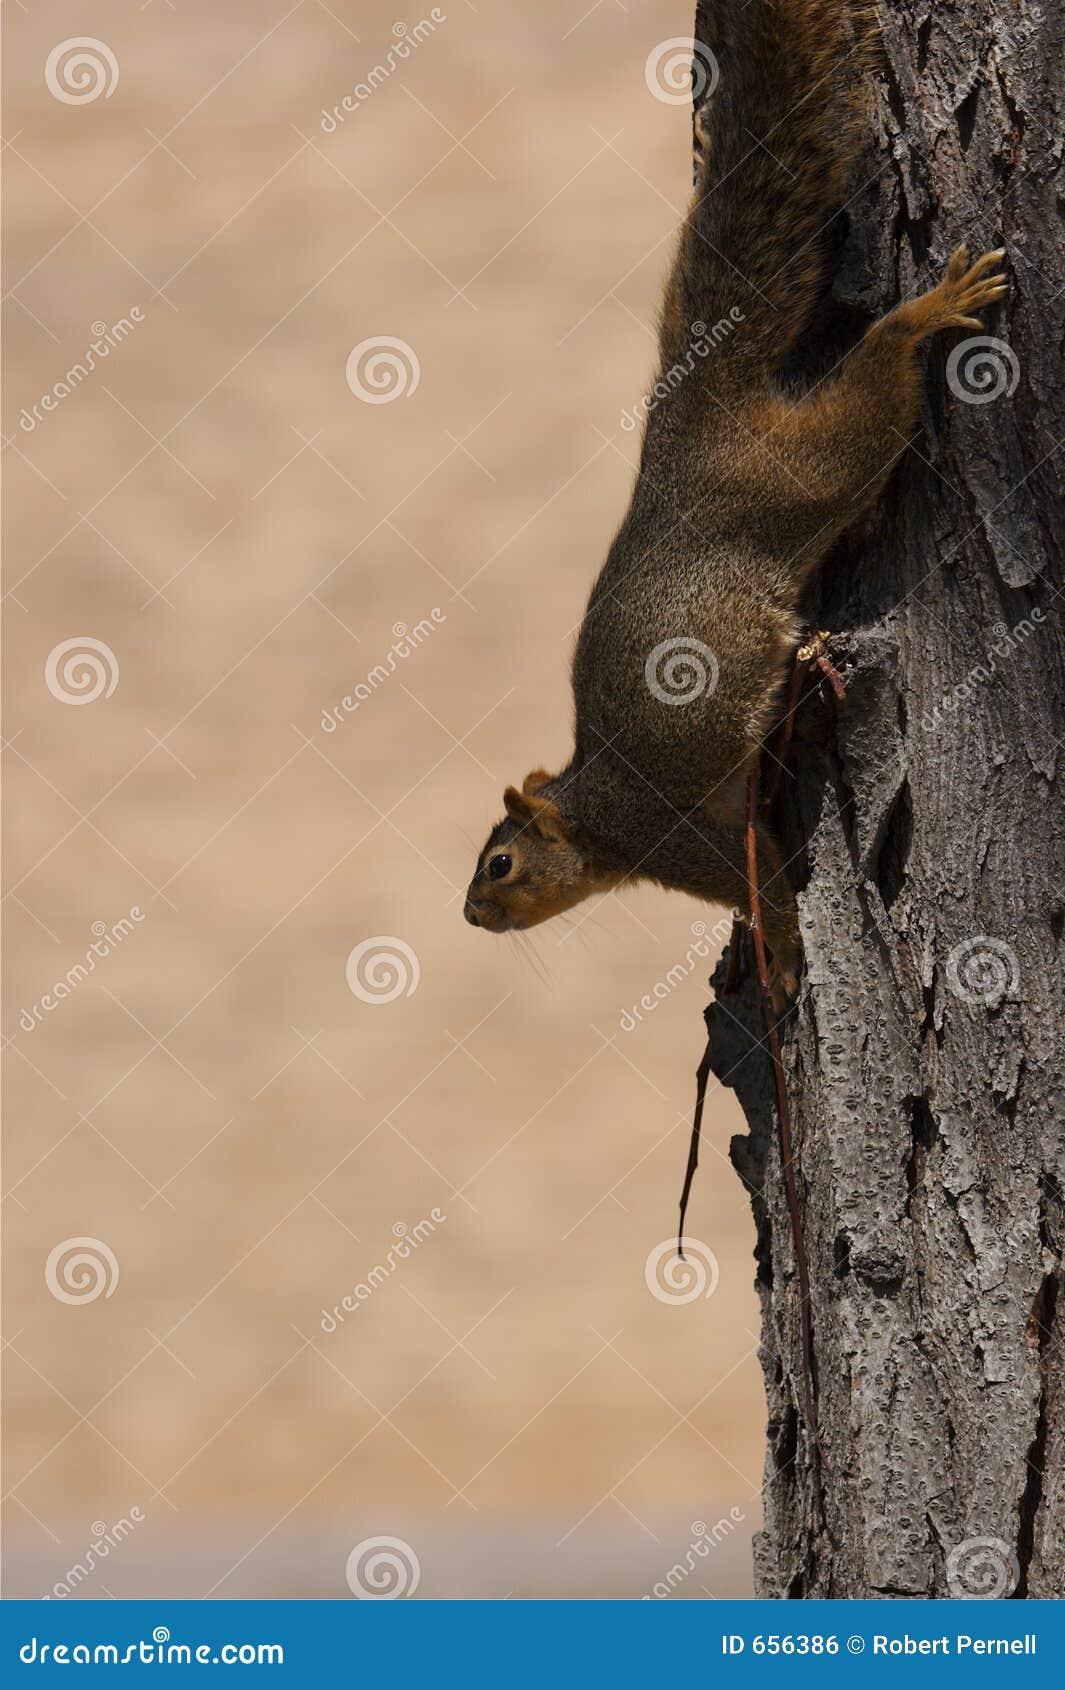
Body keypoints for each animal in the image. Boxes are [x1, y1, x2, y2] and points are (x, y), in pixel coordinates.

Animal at [463, 0, 1007, 1001]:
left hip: (810, 465)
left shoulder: (677, 841)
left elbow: (768, 889)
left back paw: (924, 311)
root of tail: (687, 423)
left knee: (877, 380)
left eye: (501, 866)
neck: (590, 814)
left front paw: (782, 956)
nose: (471, 915)